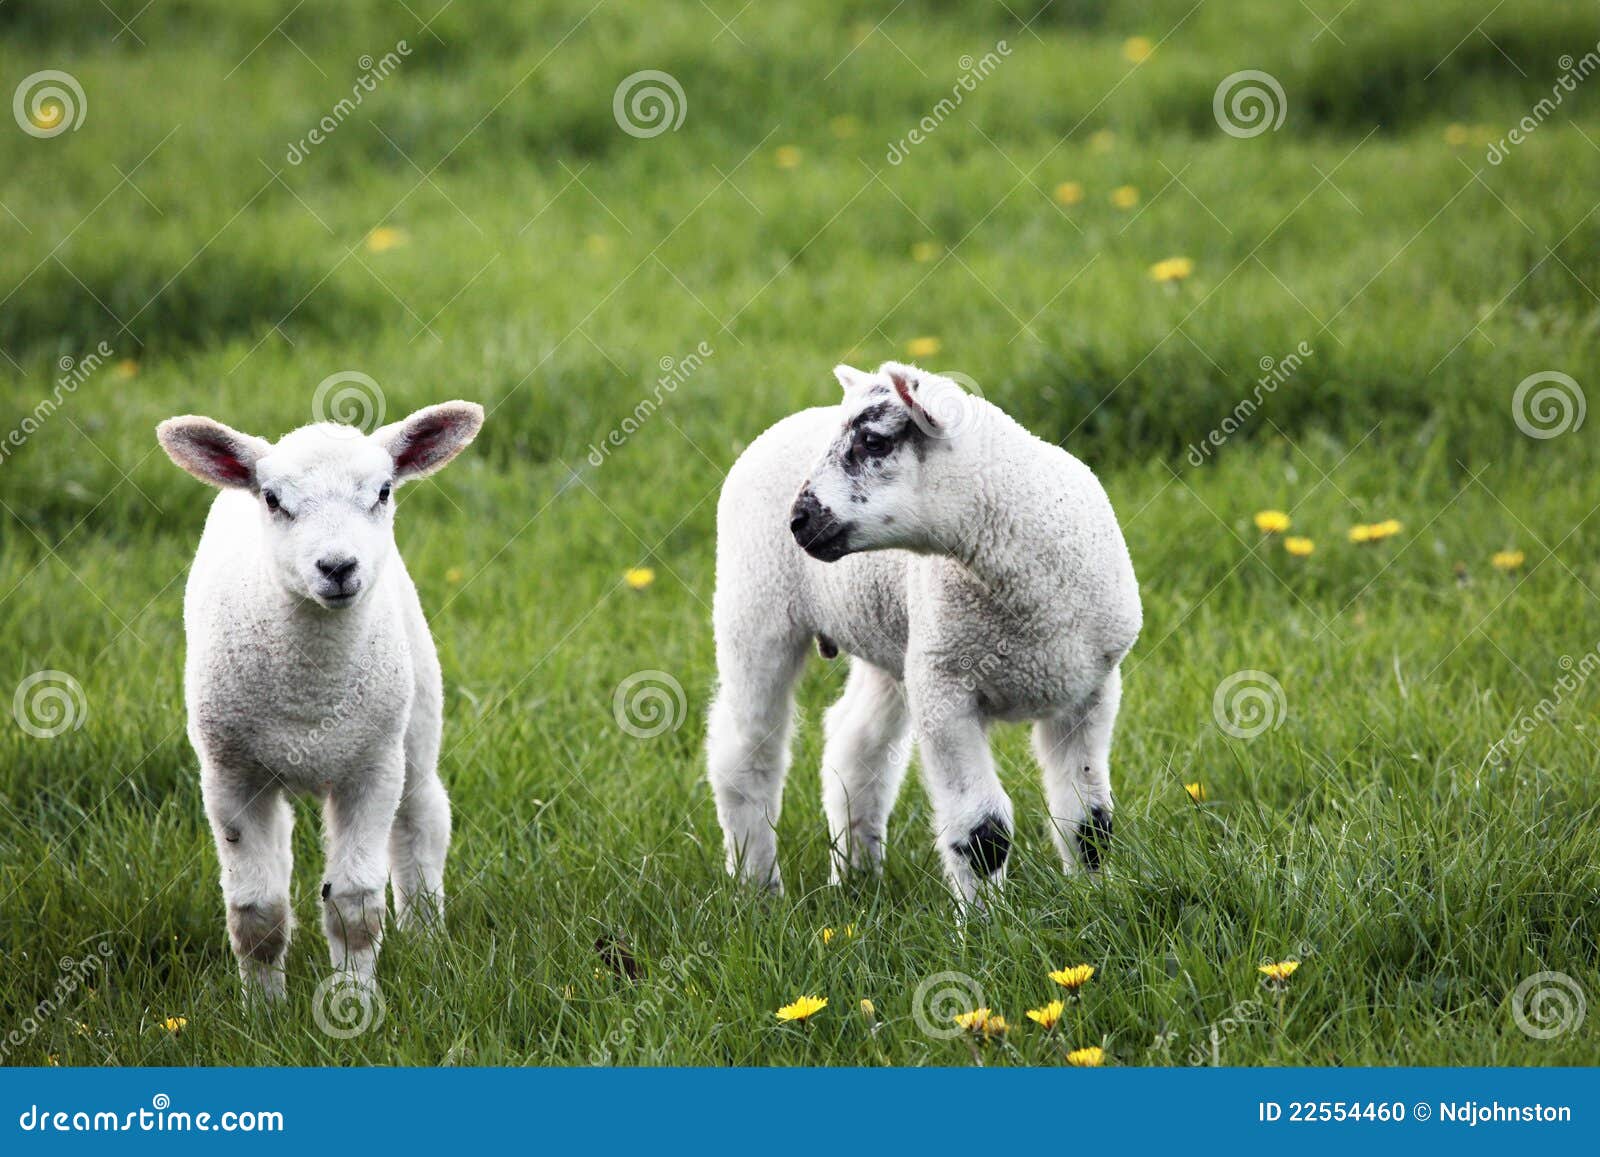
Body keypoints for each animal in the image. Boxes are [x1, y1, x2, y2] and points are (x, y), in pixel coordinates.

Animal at [156, 401, 484, 997]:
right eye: (272, 499)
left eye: (382, 491)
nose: (337, 567)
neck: (311, 696)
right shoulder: (229, 776)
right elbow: (256, 912)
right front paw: (262, 1008)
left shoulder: (372, 769)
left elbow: (355, 905)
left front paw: (354, 998)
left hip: (415, 719)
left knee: (422, 821)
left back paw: (428, 942)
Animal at [706, 362, 1141, 906]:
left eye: (872, 440)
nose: (798, 521)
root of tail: (790, 419)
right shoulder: (945, 691)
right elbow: (983, 832)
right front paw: (986, 921)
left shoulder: (1090, 690)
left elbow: (1088, 822)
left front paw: (1095, 899)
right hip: (754, 608)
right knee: (745, 755)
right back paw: (759, 890)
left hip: (890, 637)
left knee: (854, 742)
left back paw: (857, 877)